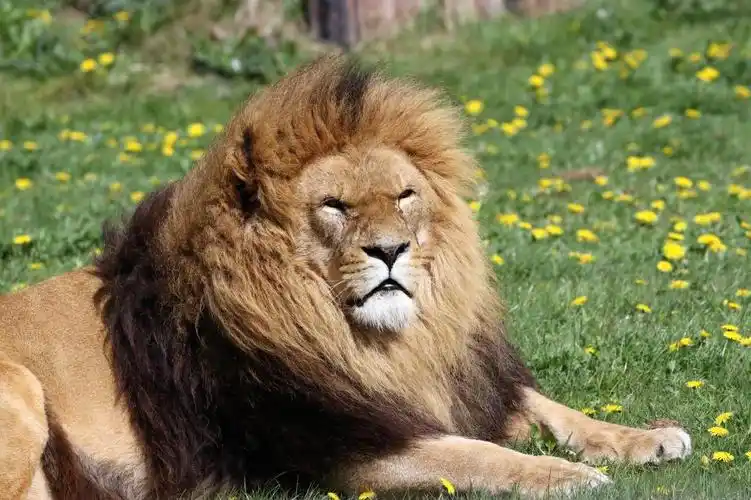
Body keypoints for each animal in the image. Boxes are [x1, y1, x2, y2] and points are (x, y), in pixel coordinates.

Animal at [0, 55, 691, 499]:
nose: (391, 250)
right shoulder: (344, 448)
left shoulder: (447, 385)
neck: (376, 345)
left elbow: (550, 409)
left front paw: (647, 439)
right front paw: (564, 476)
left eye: (405, 195)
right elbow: (477, 454)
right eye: (334, 206)